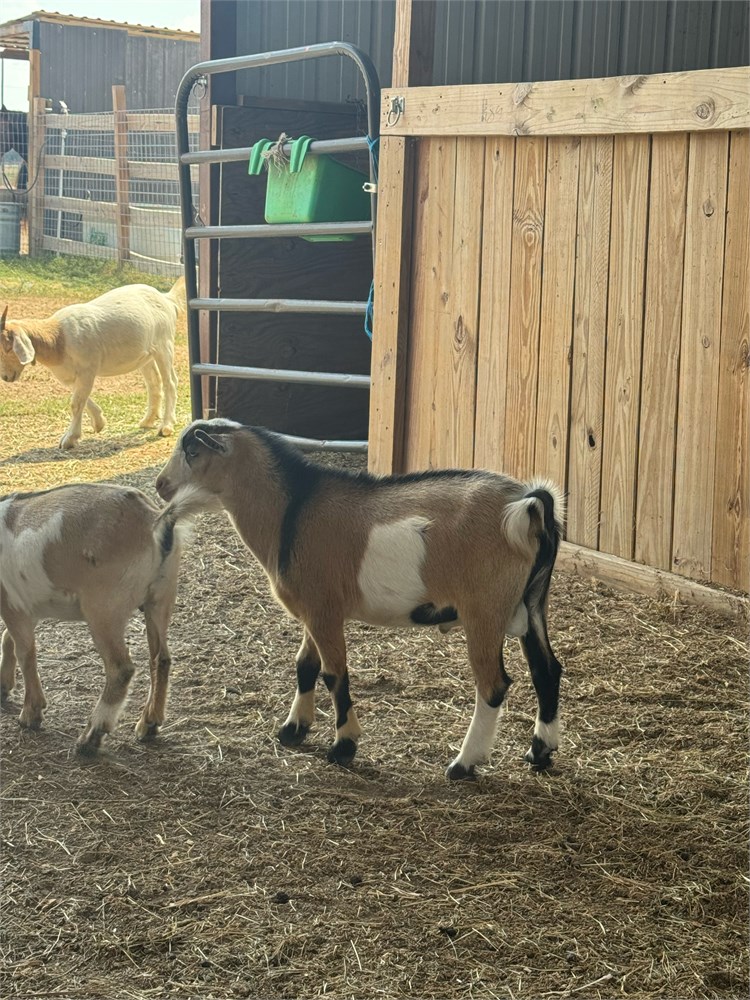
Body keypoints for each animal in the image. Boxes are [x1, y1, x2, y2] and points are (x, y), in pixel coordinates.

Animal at [0, 277, 185, 450]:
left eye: (7, 348)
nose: (6, 377)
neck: (59, 339)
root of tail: (166, 298)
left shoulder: (87, 369)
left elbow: (76, 403)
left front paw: (69, 439)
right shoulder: (71, 376)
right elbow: (81, 399)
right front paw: (99, 423)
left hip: (164, 345)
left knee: (170, 382)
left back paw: (166, 426)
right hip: (146, 356)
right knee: (154, 383)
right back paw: (147, 421)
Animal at [0, 482, 193, 752]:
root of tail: (154, 520)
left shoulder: (12, 603)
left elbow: (25, 653)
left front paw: (30, 715)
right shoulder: (27, 605)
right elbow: (9, 639)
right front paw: (3, 687)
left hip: (104, 609)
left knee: (121, 668)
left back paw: (90, 737)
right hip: (161, 596)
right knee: (161, 659)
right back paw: (148, 724)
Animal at [156, 419, 565, 779]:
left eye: (192, 451)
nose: (161, 485)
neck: (291, 513)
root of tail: (528, 503)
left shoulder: (323, 612)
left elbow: (334, 674)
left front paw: (343, 746)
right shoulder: (315, 610)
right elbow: (305, 665)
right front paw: (293, 729)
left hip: (484, 610)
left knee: (493, 685)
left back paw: (463, 764)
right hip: (531, 604)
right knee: (546, 670)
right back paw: (539, 752)